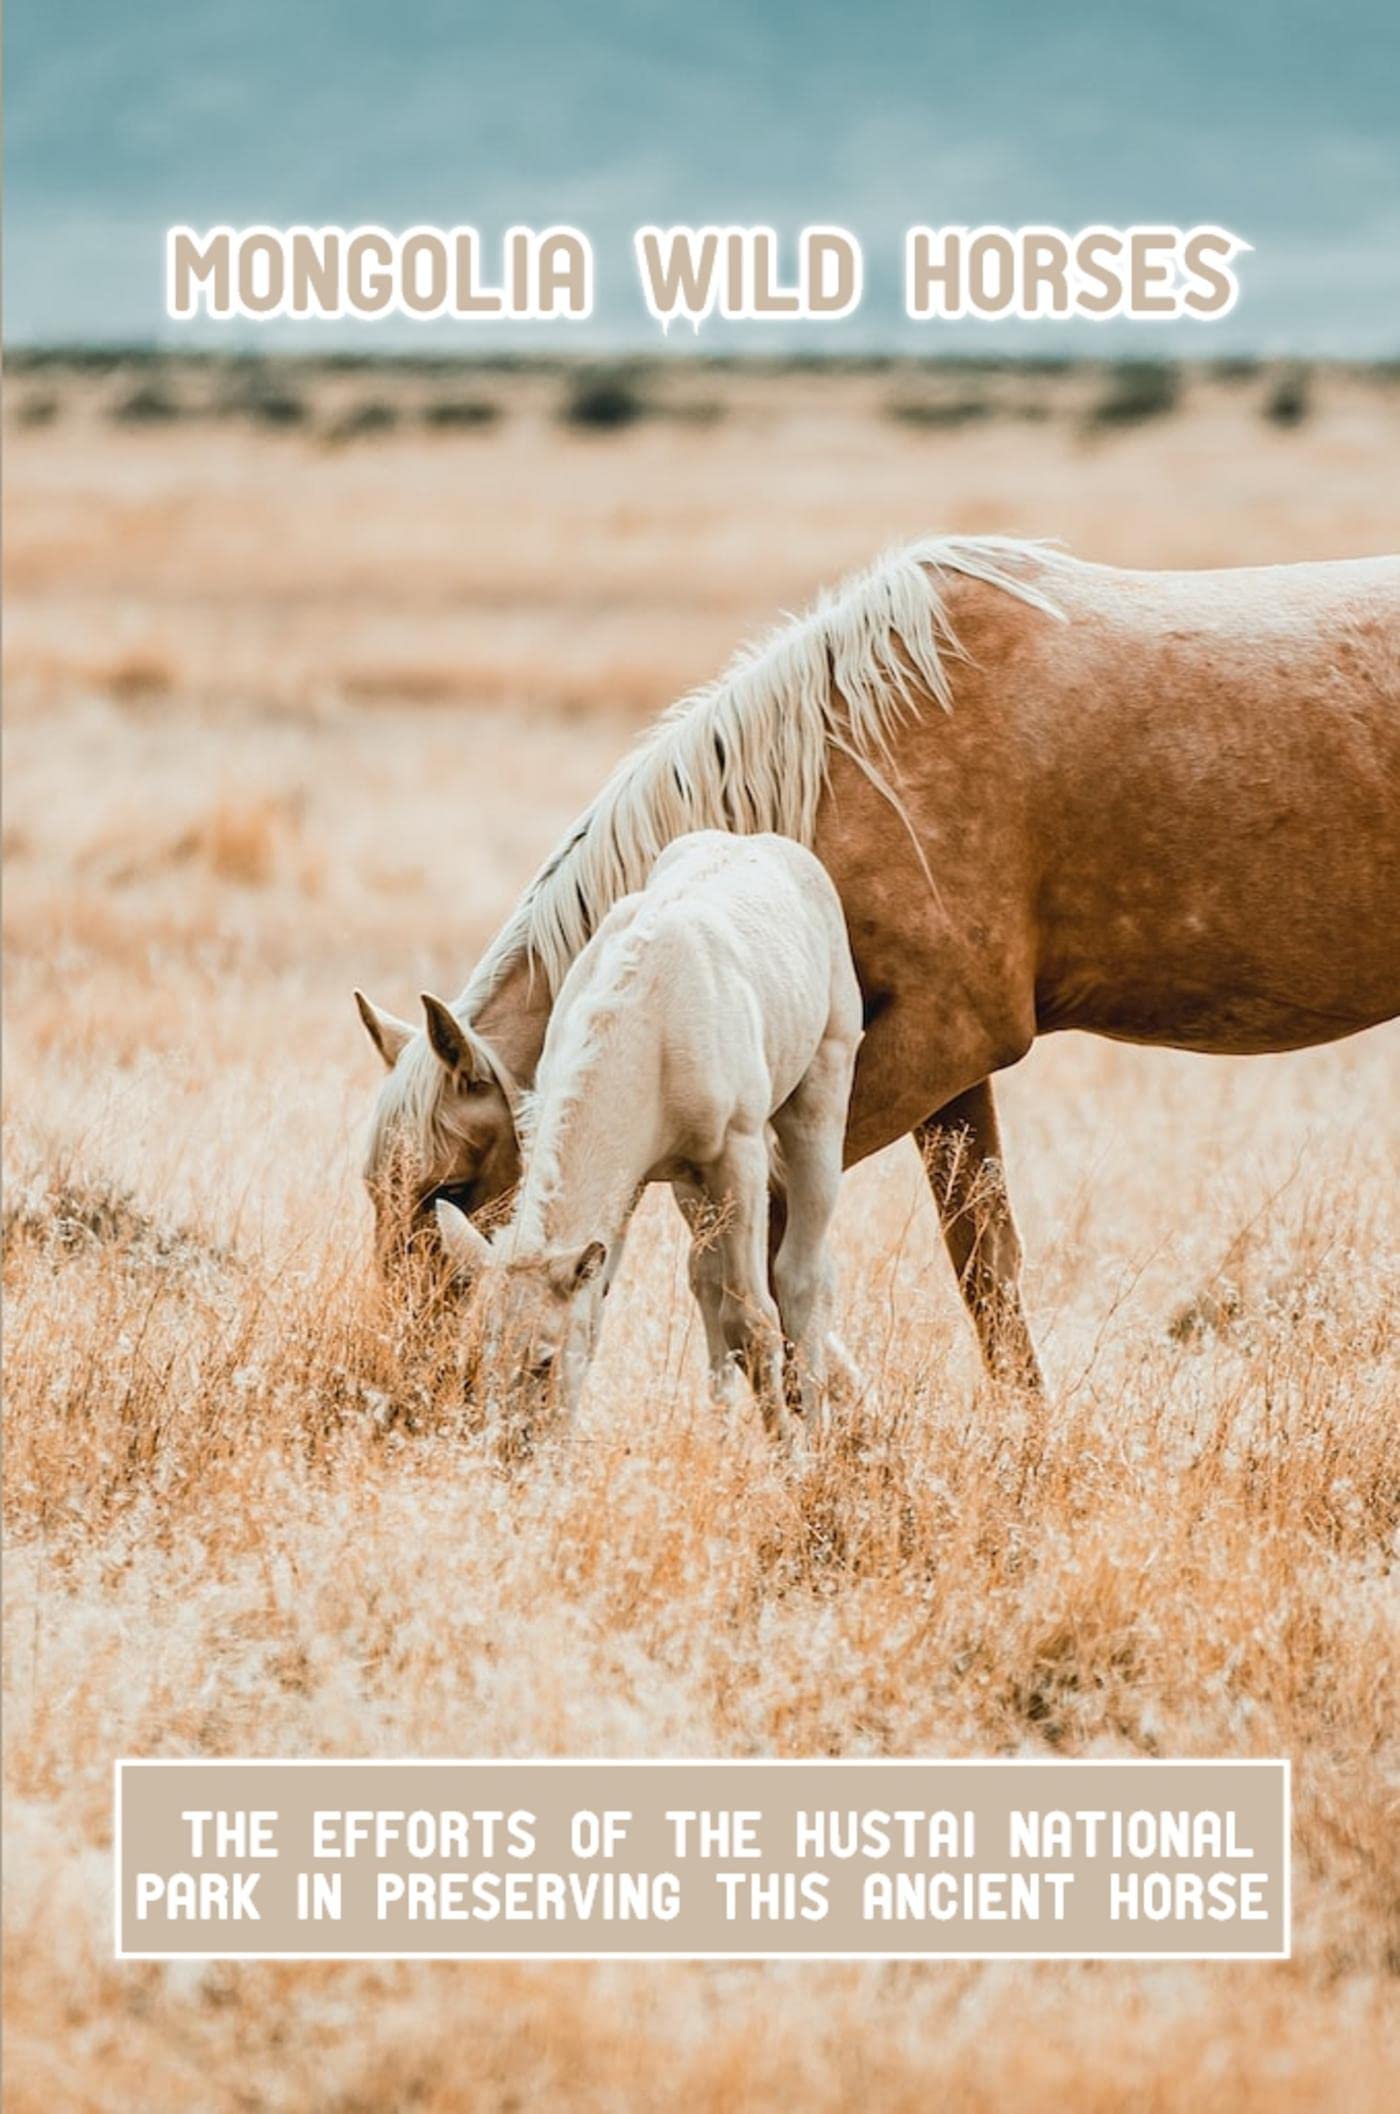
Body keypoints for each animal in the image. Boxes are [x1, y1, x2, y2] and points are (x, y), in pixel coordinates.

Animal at [430, 832, 862, 1439]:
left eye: (542, 1360)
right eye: (483, 1357)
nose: (517, 1450)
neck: (650, 1021)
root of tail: (775, 849)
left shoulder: (739, 1155)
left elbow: (752, 1316)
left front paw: (789, 1453)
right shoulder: (631, 1181)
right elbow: (600, 1314)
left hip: (823, 1083)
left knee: (803, 1275)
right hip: (691, 1186)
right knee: (705, 1281)